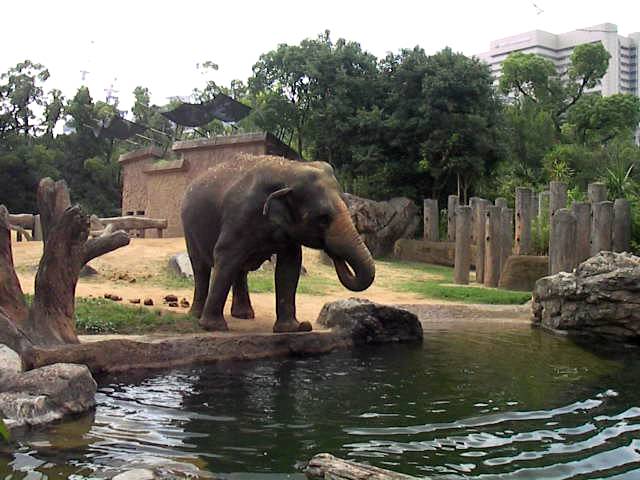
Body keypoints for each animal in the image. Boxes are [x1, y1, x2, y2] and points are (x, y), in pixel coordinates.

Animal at [181, 153, 376, 333]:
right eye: (322, 218)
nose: (307, 324)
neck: (289, 170)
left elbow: (290, 265)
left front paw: (291, 328)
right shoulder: (239, 216)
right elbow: (225, 254)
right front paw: (214, 327)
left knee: (239, 269)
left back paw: (243, 315)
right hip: (189, 228)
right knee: (201, 266)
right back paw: (196, 315)